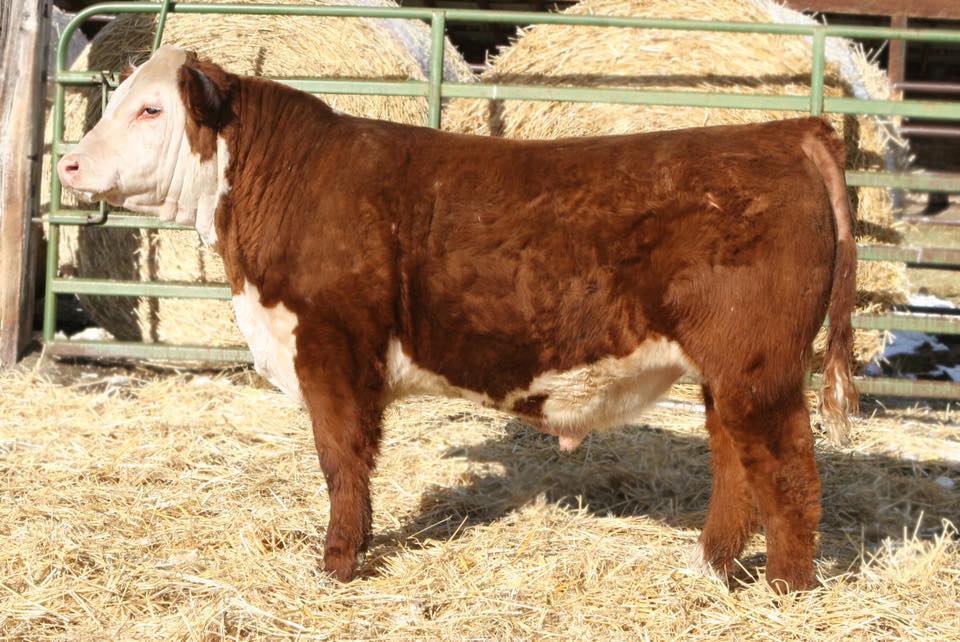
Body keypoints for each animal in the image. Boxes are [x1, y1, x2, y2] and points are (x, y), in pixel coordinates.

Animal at [58, 46, 859, 592]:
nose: (68, 164)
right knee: (735, 463)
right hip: (728, 373)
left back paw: (784, 589)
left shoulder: (333, 347)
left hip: (759, 369)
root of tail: (786, 132)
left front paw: (338, 564)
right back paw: (709, 566)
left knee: (789, 474)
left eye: (151, 109)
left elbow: (342, 461)